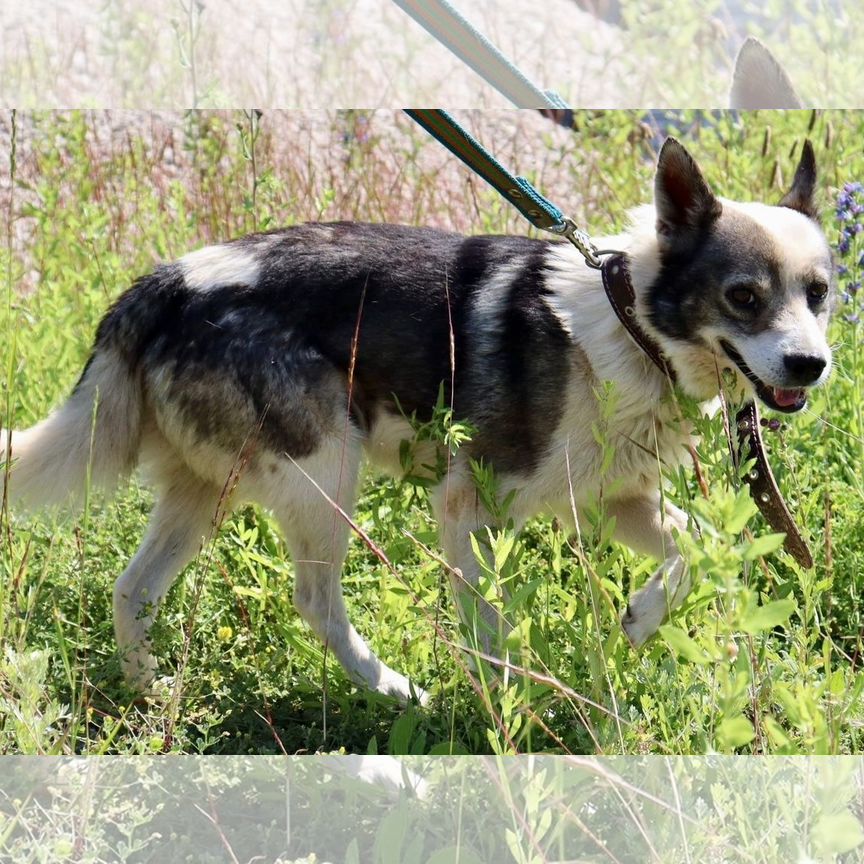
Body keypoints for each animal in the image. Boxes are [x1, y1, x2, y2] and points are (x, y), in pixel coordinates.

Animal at [1, 135, 836, 704]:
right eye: (743, 297)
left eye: (819, 293)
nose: (810, 366)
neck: (630, 322)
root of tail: (164, 283)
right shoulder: (472, 509)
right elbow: (490, 632)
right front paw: (510, 714)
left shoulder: (607, 503)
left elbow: (709, 544)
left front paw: (639, 619)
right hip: (324, 474)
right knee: (315, 602)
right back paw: (398, 691)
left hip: (206, 493)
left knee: (131, 590)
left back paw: (151, 697)